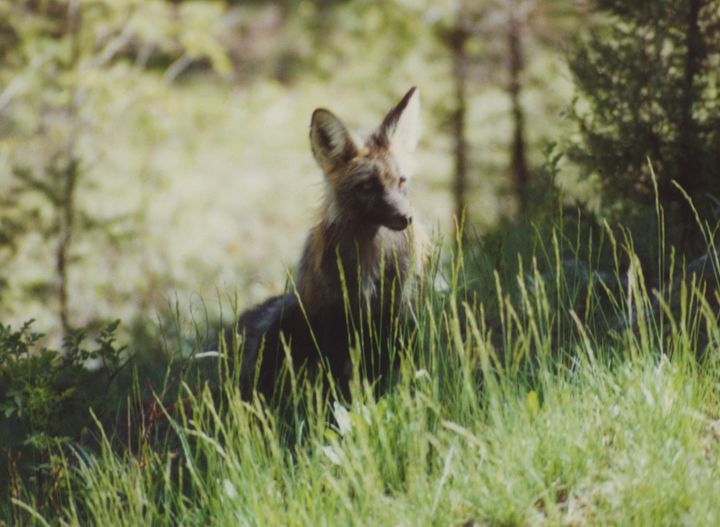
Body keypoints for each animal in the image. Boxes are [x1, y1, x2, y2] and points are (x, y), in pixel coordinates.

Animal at [234, 87, 426, 398]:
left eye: (401, 181)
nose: (406, 217)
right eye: (367, 186)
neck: (367, 273)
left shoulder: (390, 316)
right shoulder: (333, 321)